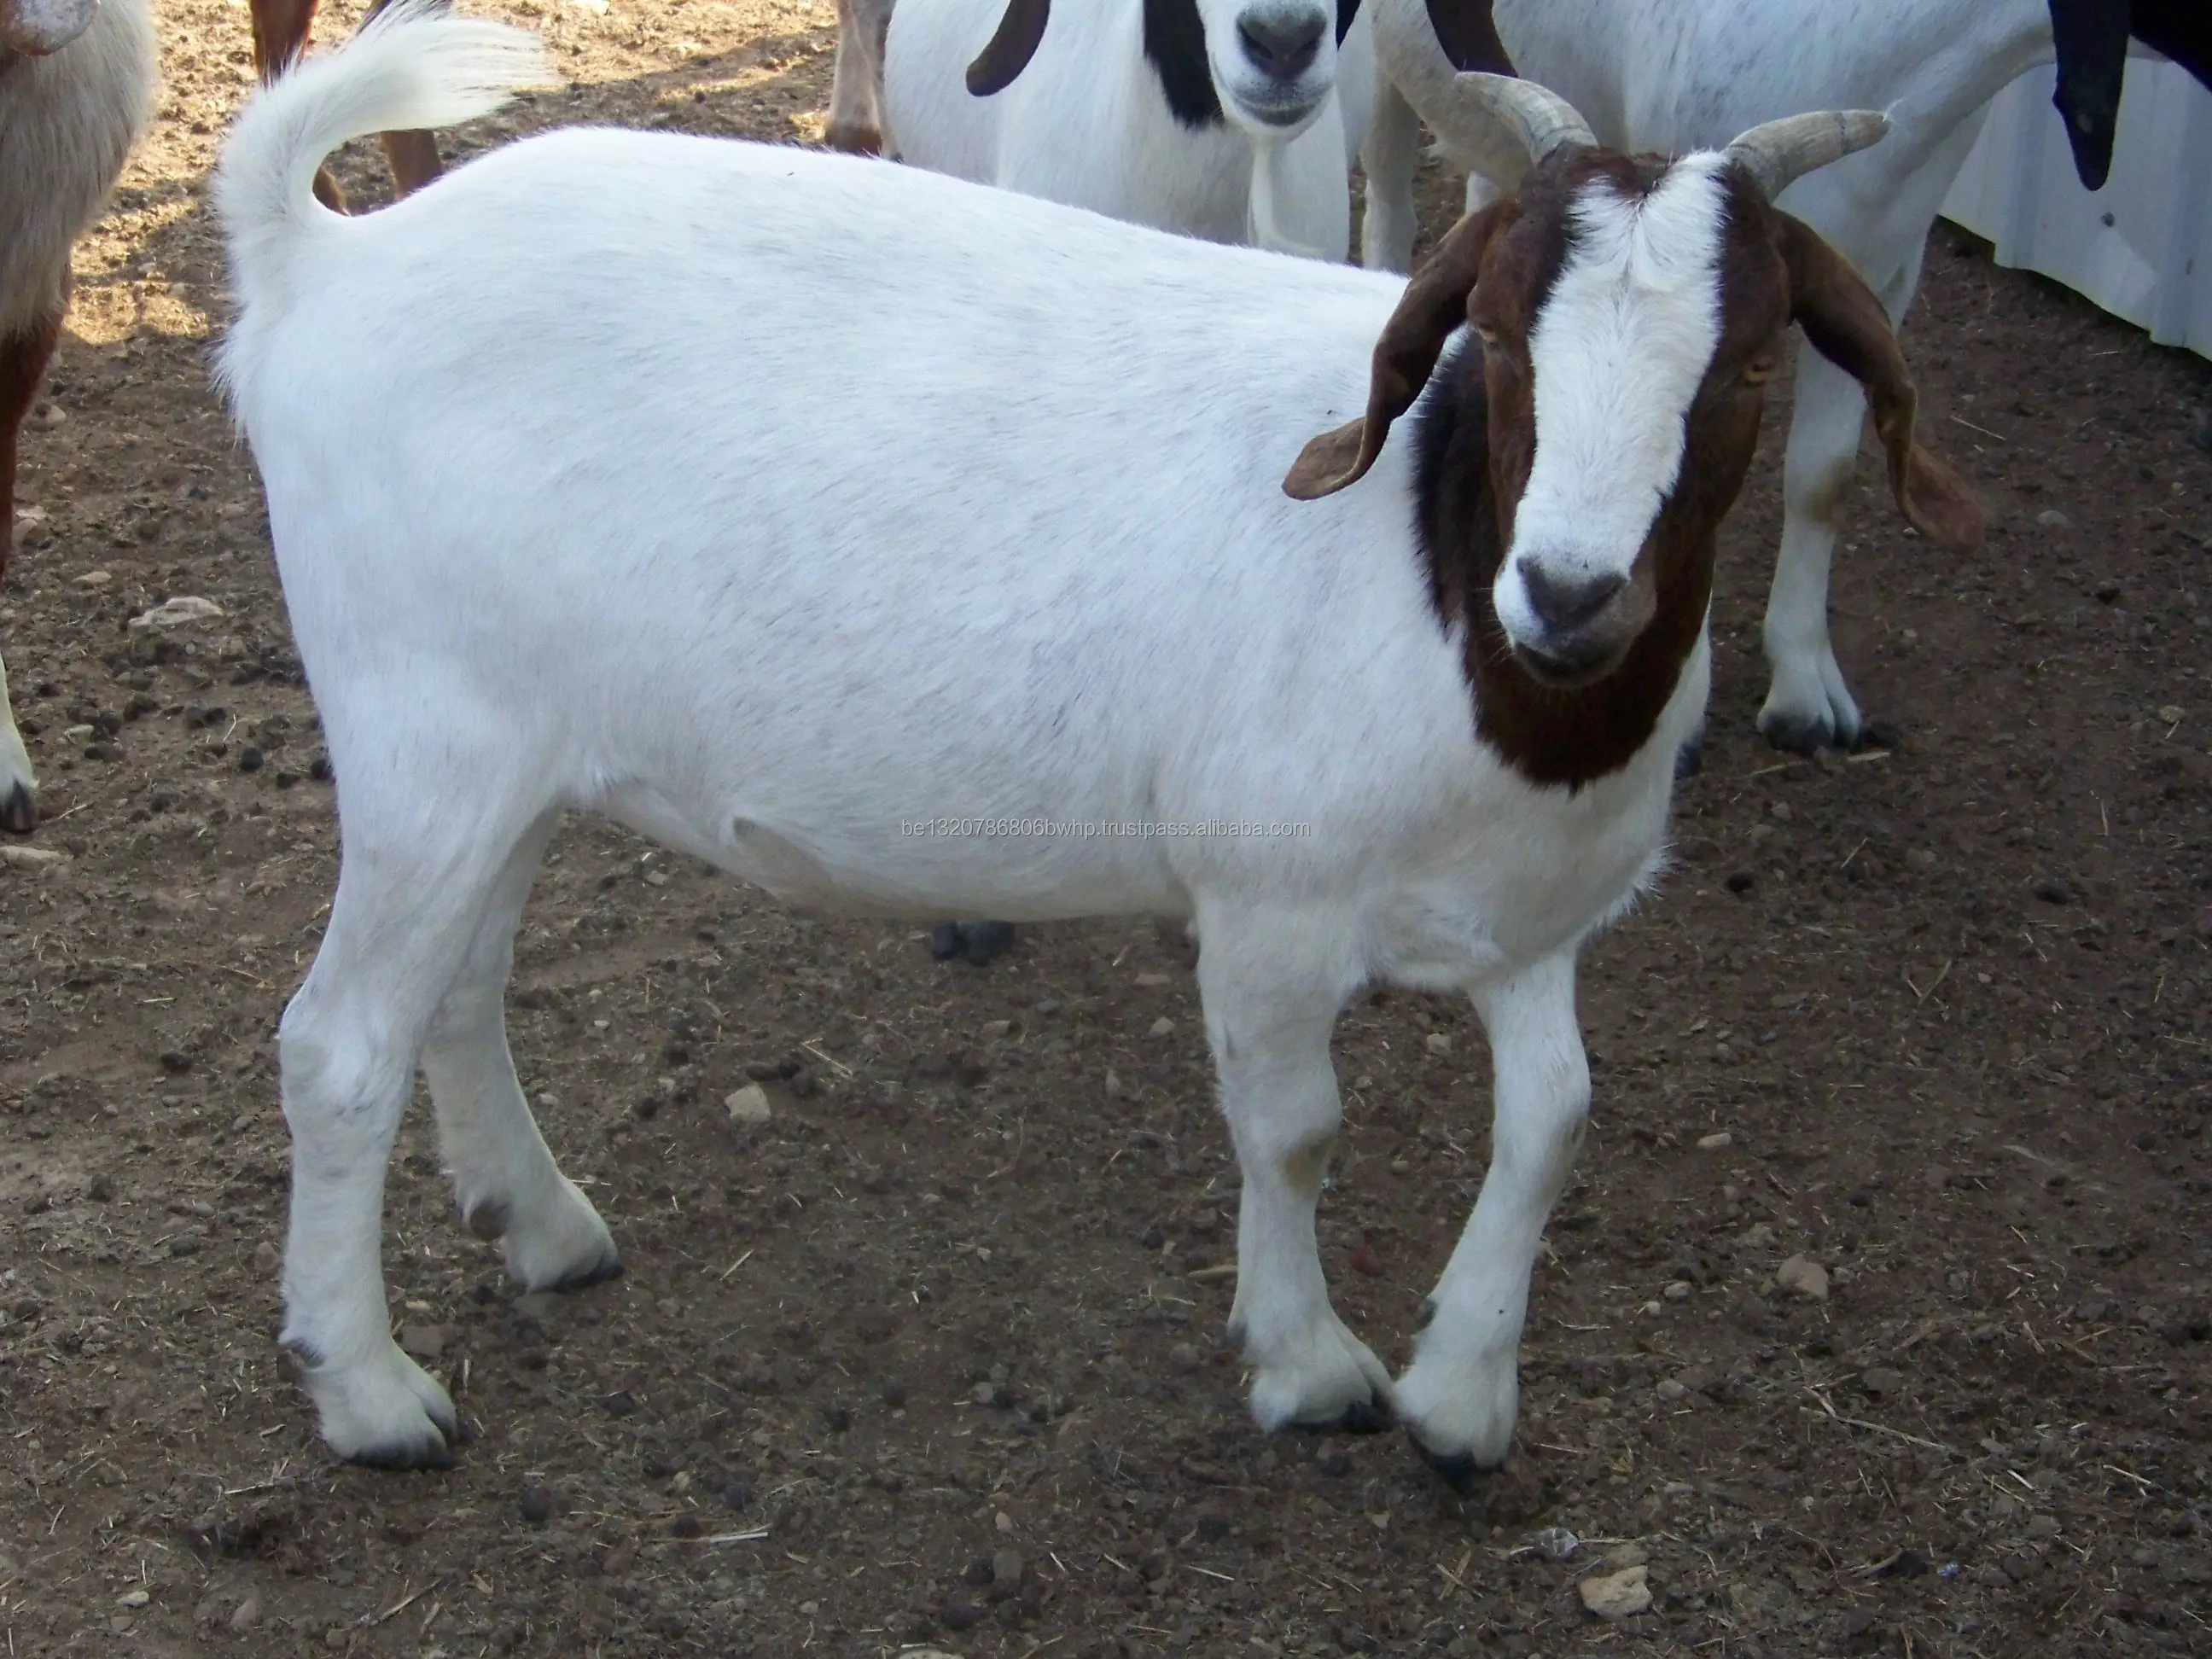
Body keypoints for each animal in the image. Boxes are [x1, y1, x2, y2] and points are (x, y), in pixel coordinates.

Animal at [1368, 0, 2212, 756]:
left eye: (1756, 363)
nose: (1566, 599)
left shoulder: (1877, 273)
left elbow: (1822, 479)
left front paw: (1805, 688)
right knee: (1384, 200)